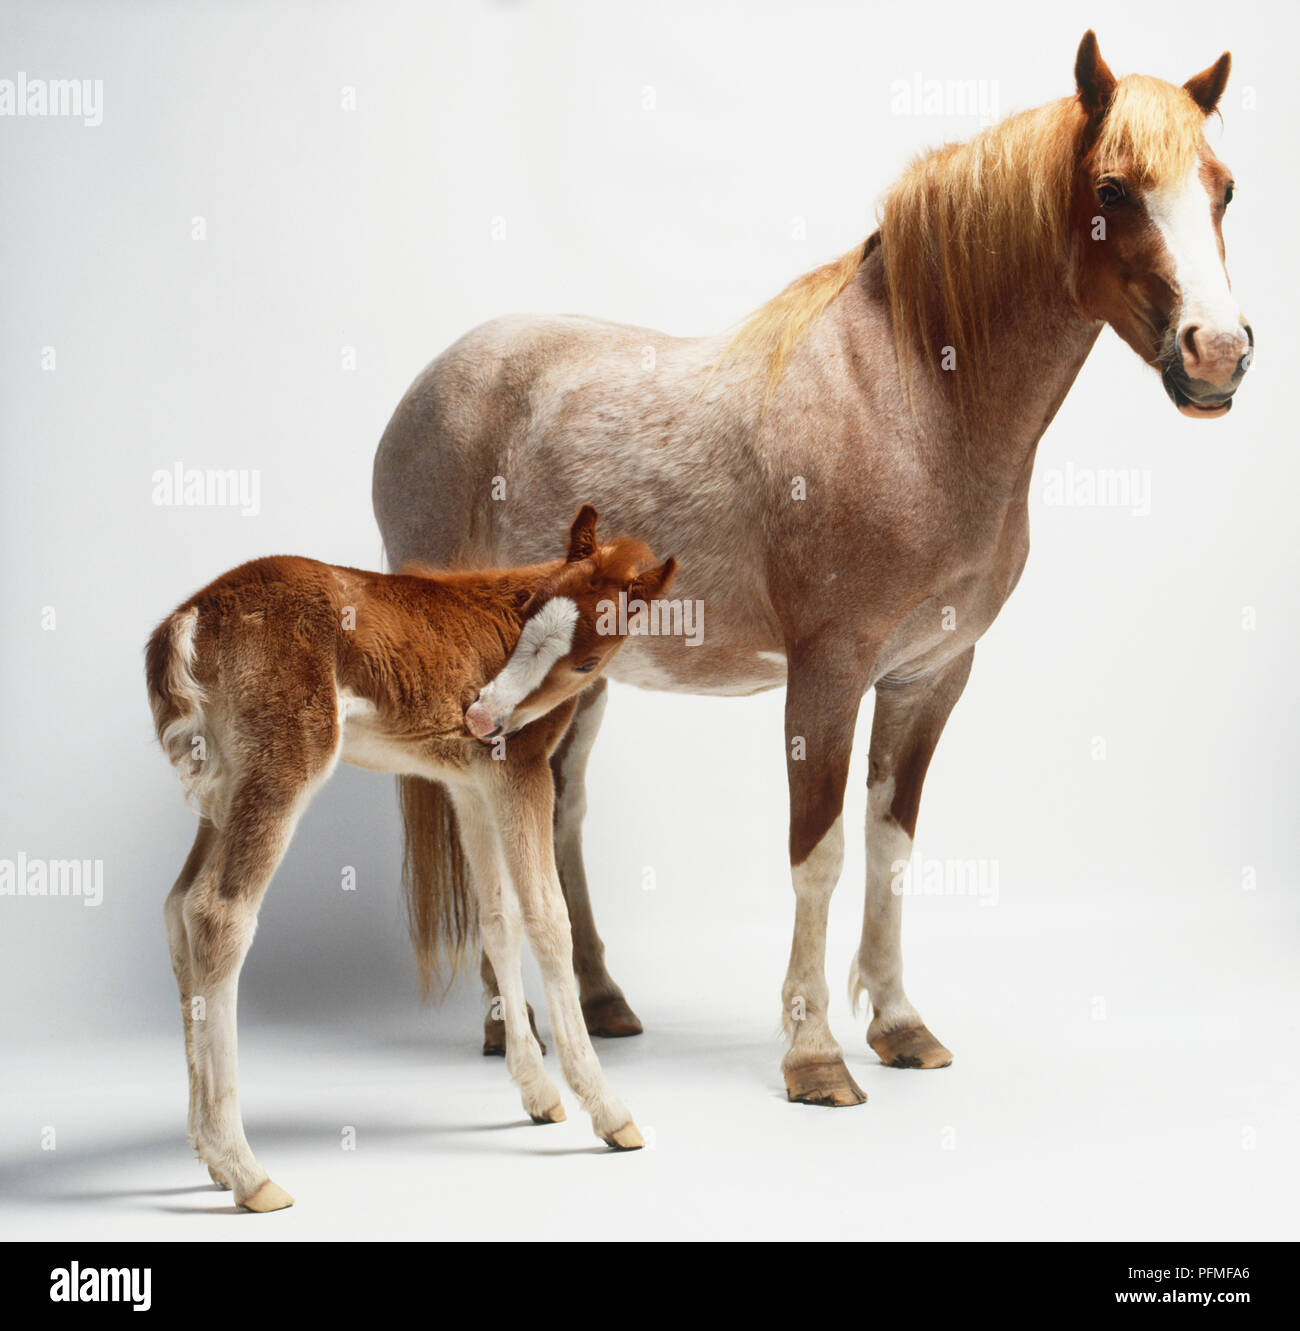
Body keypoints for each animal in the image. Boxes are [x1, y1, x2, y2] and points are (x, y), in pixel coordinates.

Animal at [146, 507, 676, 1210]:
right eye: (530, 622)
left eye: (587, 658)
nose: (479, 715)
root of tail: (188, 619)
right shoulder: (522, 769)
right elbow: (548, 921)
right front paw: (610, 1112)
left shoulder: (471, 783)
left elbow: (498, 923)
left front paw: (538, 1094)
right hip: (282, 766)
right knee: (216, 913)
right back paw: (247, 1171)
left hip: (222, 789)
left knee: (178, 906)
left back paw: (207, 1157)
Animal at [372, 32, 1252, 1108]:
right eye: (1114, 189)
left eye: (1223, 187)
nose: (1217, 354)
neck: (912, 401)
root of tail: (430, 386)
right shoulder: (826, 673)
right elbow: (818, 851)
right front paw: (814, 1054)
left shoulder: (929, 675)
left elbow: (890, 842)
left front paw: (902, 1025)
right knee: (480, 819)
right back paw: (511, 1025)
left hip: (574, 677)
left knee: (556, 808)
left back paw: (599, 1000)